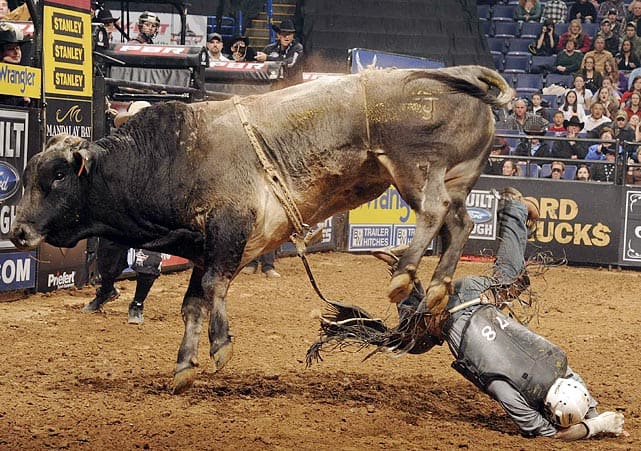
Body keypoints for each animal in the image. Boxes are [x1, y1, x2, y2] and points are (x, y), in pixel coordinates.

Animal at [11, 66, 512, 393]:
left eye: (58, 176)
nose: (18, 232)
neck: (171, 156)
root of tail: (454, 74)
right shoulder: (205, 247)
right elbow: (194, 302)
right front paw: (185, 365)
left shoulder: (230, 228)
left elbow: (214, 287)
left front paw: (221, 346)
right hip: (453, 179)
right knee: (460, 223)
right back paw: (437, 288)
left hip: (412, 169)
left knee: (434, 213)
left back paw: (404, 274)